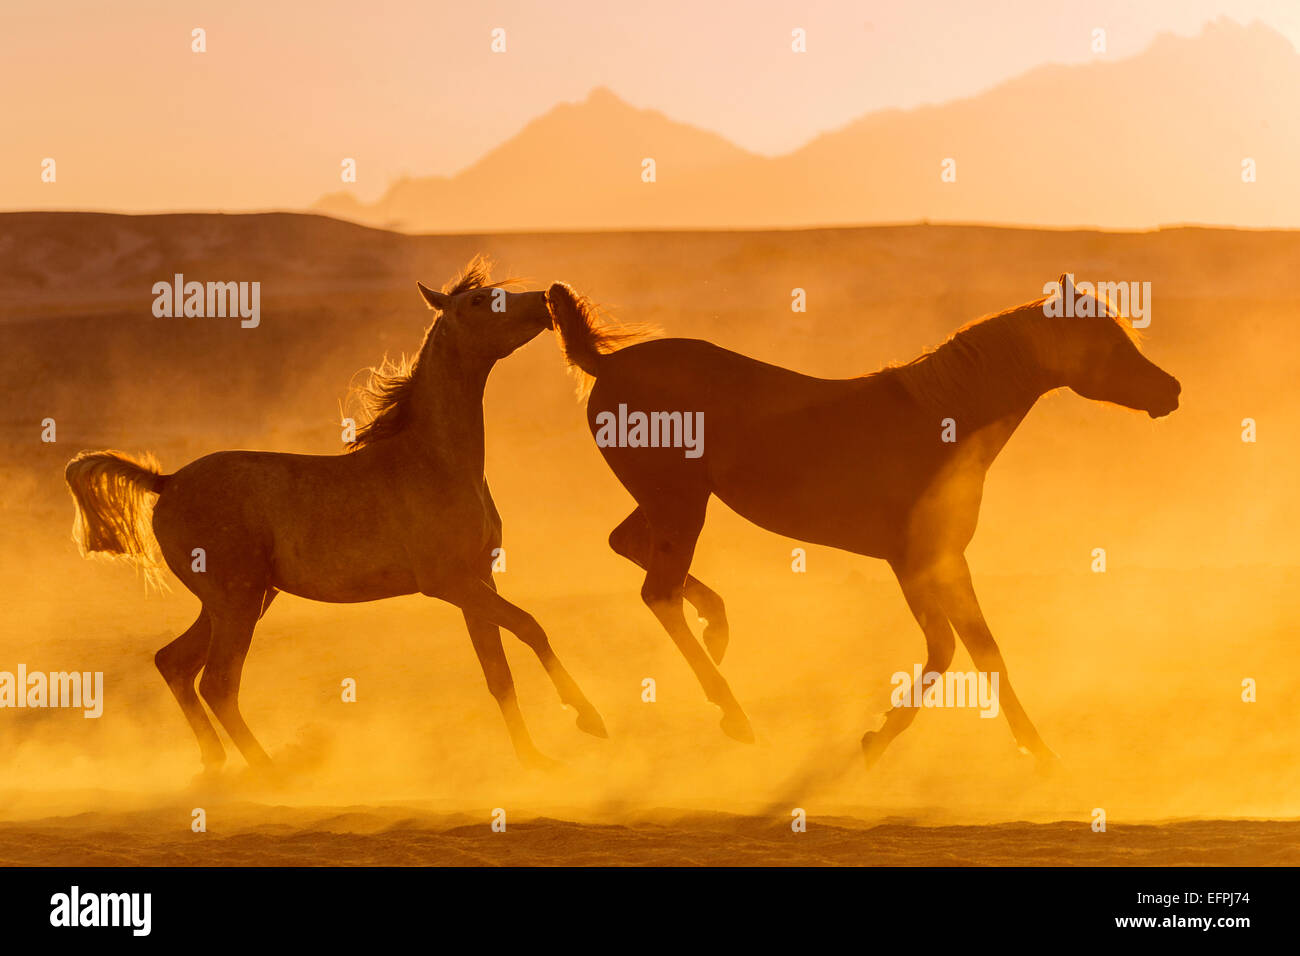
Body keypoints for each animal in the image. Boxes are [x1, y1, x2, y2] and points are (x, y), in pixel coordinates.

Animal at [64, 257, 606, 774]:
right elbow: (531, 627)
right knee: (217, 682)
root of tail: (168, 481)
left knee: (175, 663)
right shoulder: (449, 582)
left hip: (239, 600)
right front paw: (589, 720)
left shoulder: (478, 580)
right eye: (477, 301)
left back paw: (217, 763)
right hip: (238, 601)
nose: (545, 300)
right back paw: (273, 772)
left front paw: (536, 759)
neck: (435, 459)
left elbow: (498, 673)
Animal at [544, 273, 1181, 769]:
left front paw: (1041, 752)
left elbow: (985, 651)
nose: (1171, 390)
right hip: (680, 502)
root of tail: (607, 364)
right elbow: (947, 650)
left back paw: (717, 625)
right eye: (1110, 342)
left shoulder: (947, 559)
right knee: (659, 591)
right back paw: (733, 712)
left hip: (670, 501)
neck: (942, 422)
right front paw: (878, 739)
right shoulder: (912, 561)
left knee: (631, 549)